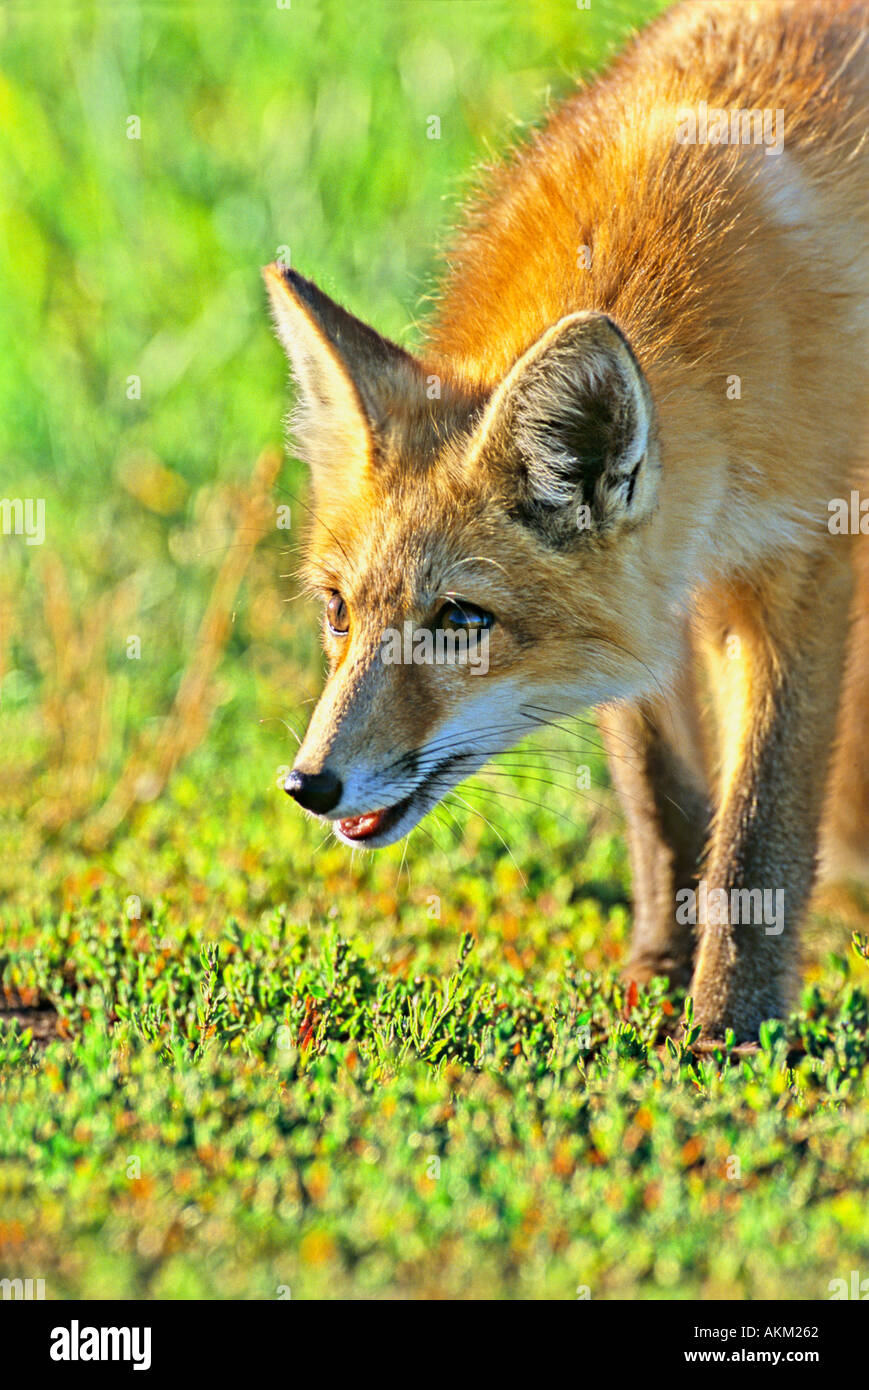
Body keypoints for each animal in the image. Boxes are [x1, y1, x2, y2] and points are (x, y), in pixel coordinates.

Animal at [263, 0, 869, 1042]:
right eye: (338, 611)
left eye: (461, 620)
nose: (309, 786)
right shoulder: (655, 601)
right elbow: (665, 806)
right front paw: (658, 973)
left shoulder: (805, 558)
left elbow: (761, 826)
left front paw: (731, 1027)